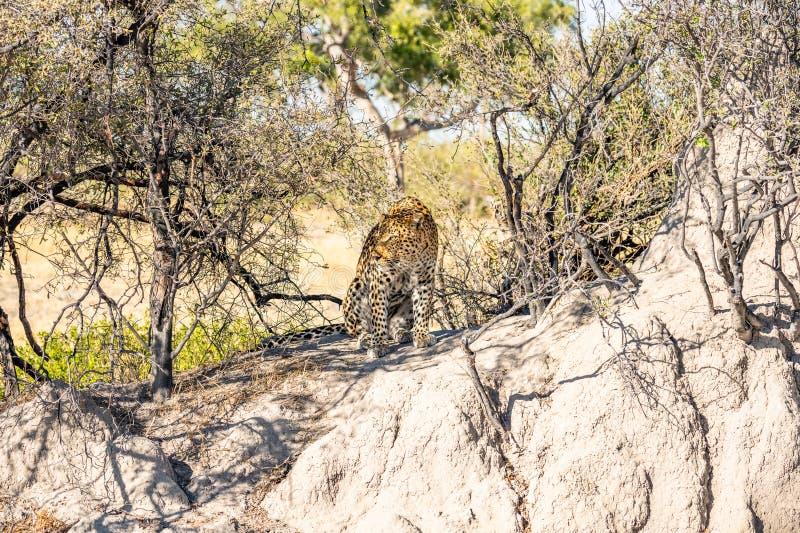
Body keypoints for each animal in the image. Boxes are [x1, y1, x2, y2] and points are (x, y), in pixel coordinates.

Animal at [259, 196, 438, 358]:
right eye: (377, 238)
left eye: (391, 238)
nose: (375, 256)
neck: (409, 260)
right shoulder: (379, 282)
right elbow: (378, 316)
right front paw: (378, 345)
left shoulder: (425, 281)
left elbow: (422, 310)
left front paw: (421, 335)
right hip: (356, 287)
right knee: (362, 330)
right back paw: (367, 339)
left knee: (392, 327)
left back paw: (403, 333)